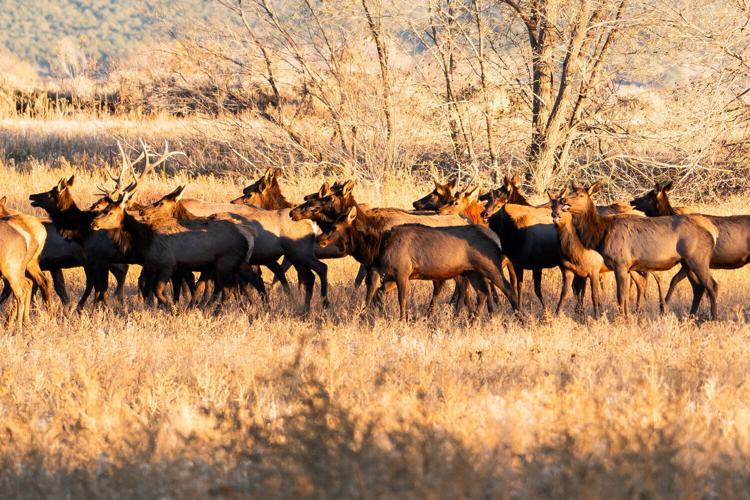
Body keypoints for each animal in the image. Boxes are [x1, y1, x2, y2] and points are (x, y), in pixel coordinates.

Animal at [317, 206, 518, 320]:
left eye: (334, 227)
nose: (320, 240)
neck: (377, 246)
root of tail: (496, 239)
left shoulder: (402, 272)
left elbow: (401, 300)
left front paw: (402, 320)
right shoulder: (381, 272)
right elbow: (373, 295)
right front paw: (367, 317)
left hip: (489, 268)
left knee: (506, 288)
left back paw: (517, 317)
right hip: (470, 271)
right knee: (480, 291)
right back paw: (471, 319)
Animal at [560, 181, 720, 319]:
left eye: (581, 195)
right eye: (572, 191)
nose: (563, 200)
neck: (601, 234)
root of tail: (713, 232)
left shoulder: (621, 263)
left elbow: (620, 295)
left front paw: (621, 318)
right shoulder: (628, 267)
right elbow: (626, 295)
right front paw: (627, 316)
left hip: (698, 260)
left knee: (712, 285)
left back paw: (713, 317)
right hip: (687, 263)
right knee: (699, 287)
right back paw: (692, 316)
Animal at [630, 180, 750, 315]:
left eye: (647, 196)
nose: (632, 201)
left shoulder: (688, 263)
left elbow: (675, 280)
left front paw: (663, 306)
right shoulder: (687, 263)